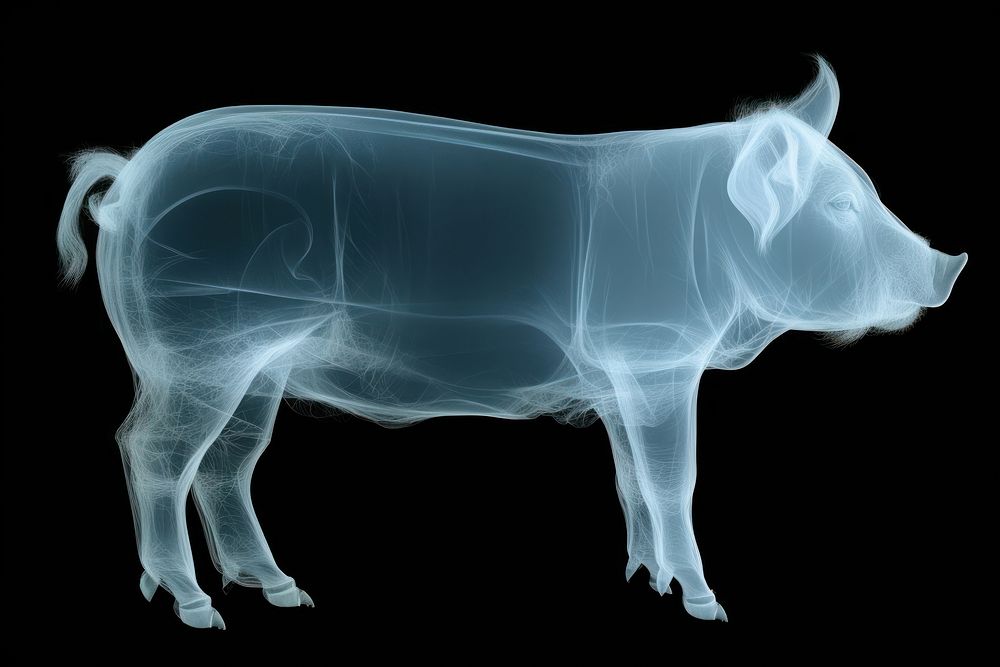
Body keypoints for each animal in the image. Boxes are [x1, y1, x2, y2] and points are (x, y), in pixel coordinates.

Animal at [56, 58, 966, 628]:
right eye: (839, 207)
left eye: (864, 191)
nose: (950, 263)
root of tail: (130, 178)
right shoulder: (658, 352)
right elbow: (675, 478)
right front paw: (708, 603)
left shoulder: (619, 374)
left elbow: (630, 478)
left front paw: (646, 578)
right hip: (199, 345)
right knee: (152, 450)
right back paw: (194, 605)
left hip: (259, 359)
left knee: (229, 459)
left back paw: (283, 592)